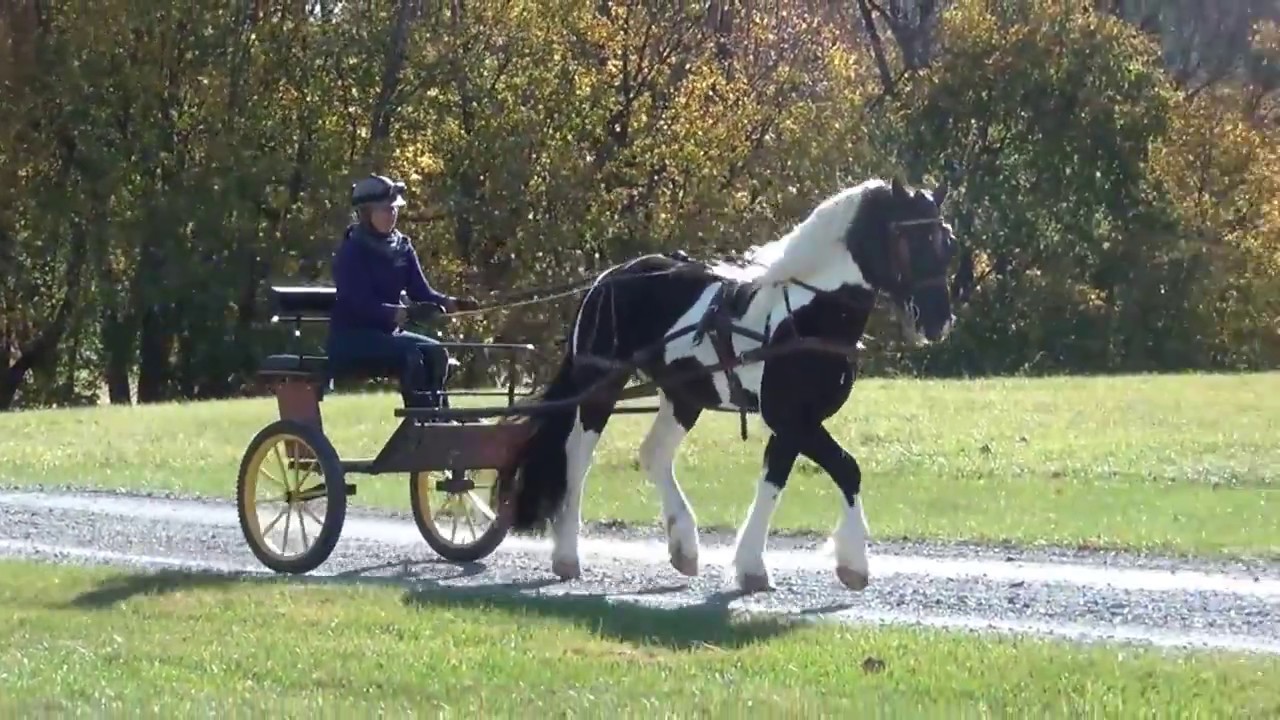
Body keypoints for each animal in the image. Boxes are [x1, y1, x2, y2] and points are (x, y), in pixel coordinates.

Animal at [498, 176, 967, 593]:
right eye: (911, 241)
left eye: (946, 243)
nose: (938, 321)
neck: (806, 314)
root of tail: (608, 278)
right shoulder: (789, 417)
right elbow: (846, 468)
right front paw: (849, 563)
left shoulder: (795, 423)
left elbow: (777, 479)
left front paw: (755, 566)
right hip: (601, 386)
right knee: (577, 456)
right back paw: (568, 555)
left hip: (685, 395)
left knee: (653, 454)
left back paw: (684, 547)